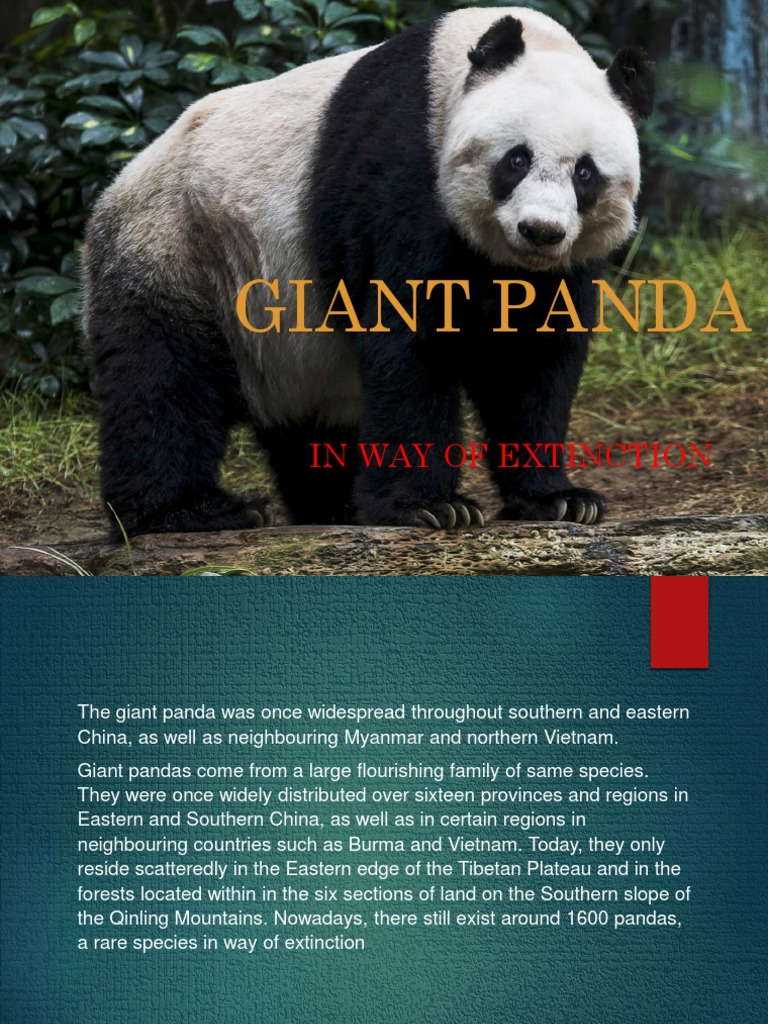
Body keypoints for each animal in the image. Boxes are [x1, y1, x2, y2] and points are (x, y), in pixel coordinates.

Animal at [82, 6, 653, 537]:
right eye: (516, 159)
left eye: (585, 173)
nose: (541, 230)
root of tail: (115, 187)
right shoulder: (400, 170)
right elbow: (409, 339)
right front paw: (431, 507)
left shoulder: (555, 269)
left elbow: (530, 358)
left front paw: (560, 499)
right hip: (182, 247)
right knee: (163, 379)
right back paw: (187, 512)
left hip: (284, 335)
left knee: (311, 424)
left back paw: (331, 505)